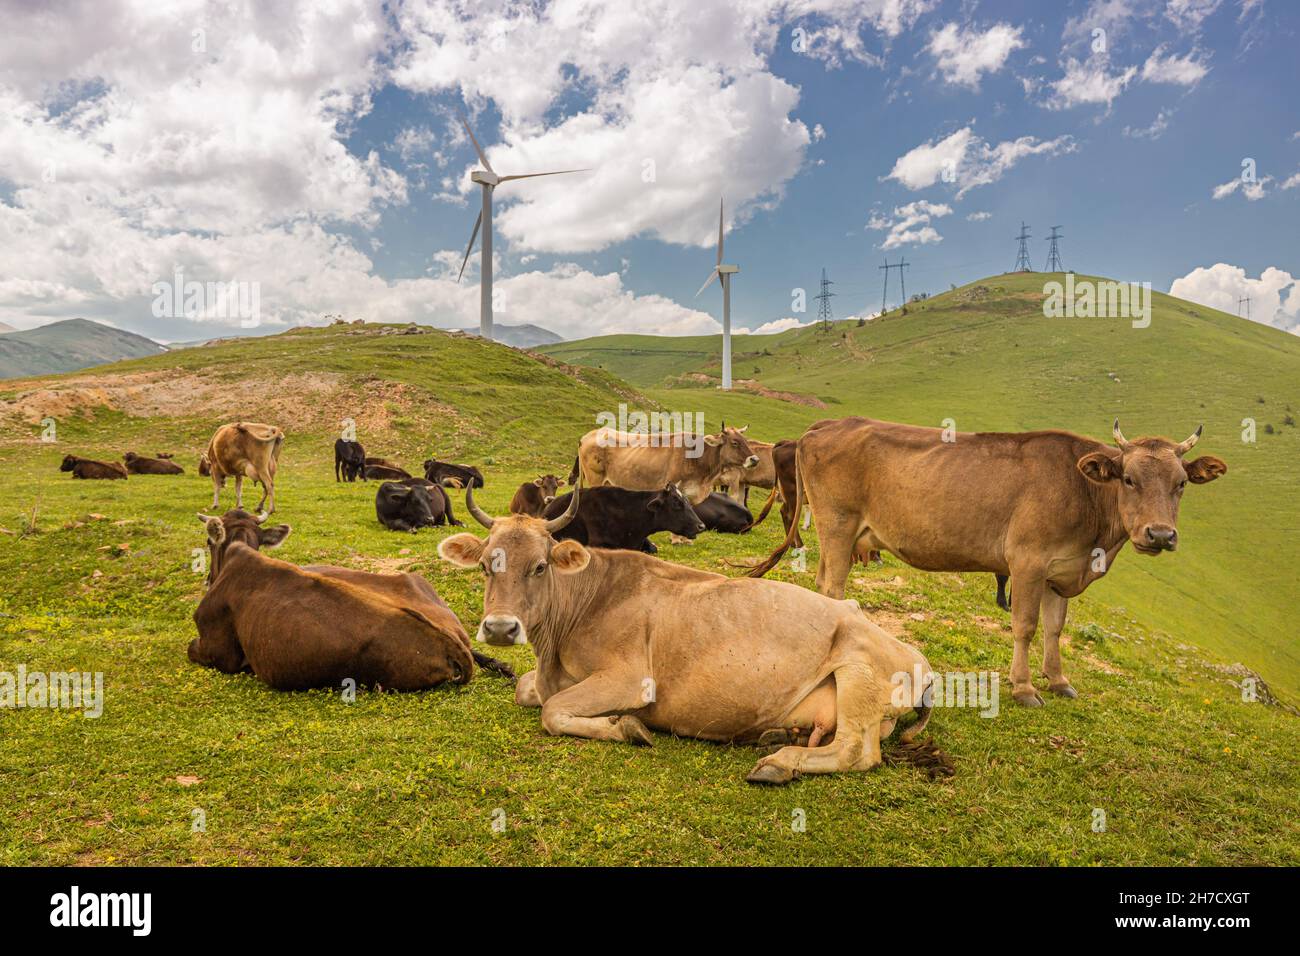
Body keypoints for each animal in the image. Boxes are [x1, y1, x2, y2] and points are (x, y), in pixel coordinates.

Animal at [747, 418, 1227, 707]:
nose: (1160, 535)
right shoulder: (1028, 561)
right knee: (832, 588)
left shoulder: (1060, 570)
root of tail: (828, 423)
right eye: (1128, 479)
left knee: (822, 585)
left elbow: (1055, 628)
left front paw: (1058, 681)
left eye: (1181, 483)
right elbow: (1026, 626)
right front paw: (1024, 687)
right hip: (838, 524)